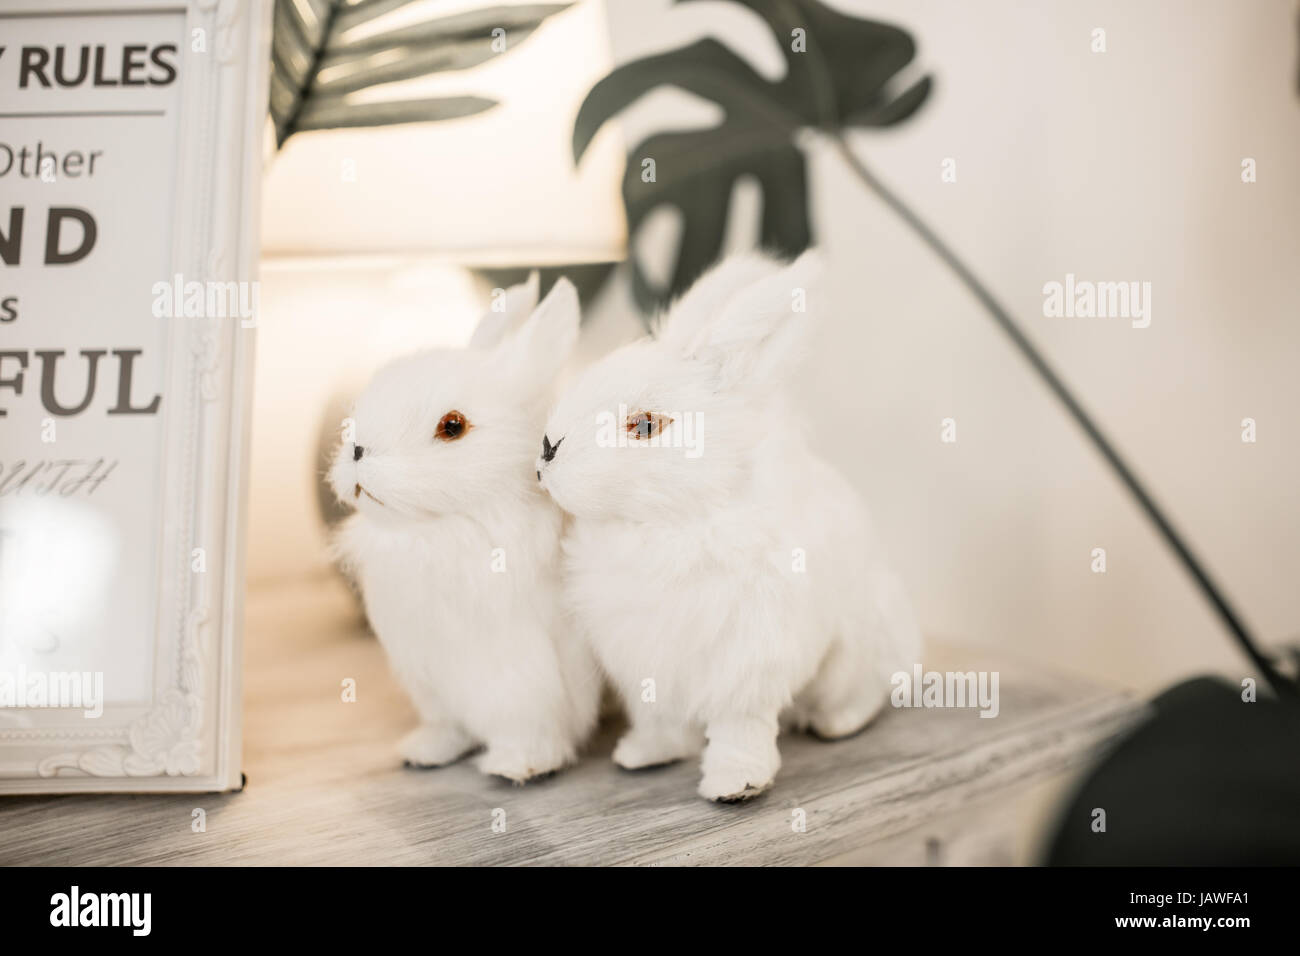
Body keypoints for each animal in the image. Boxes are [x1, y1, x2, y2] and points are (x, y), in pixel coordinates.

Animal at [329, 275, 601, 783]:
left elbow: (531, 725)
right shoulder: (429, 681)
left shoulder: (524, 679)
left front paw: (521, 765)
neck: (441, 529)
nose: (357, 449)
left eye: (452, 426)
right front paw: (425, 751)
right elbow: (447, 726)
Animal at [535, 251, 921, 801]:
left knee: (864, 694)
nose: (547, 448)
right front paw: (644, 755)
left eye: (645, 425)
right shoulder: (650, 664)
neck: (673, 520)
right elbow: (662, 721)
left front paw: (735, 784)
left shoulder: (749, 661)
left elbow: (741, 728)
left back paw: (834, 725)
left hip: (856, 655)